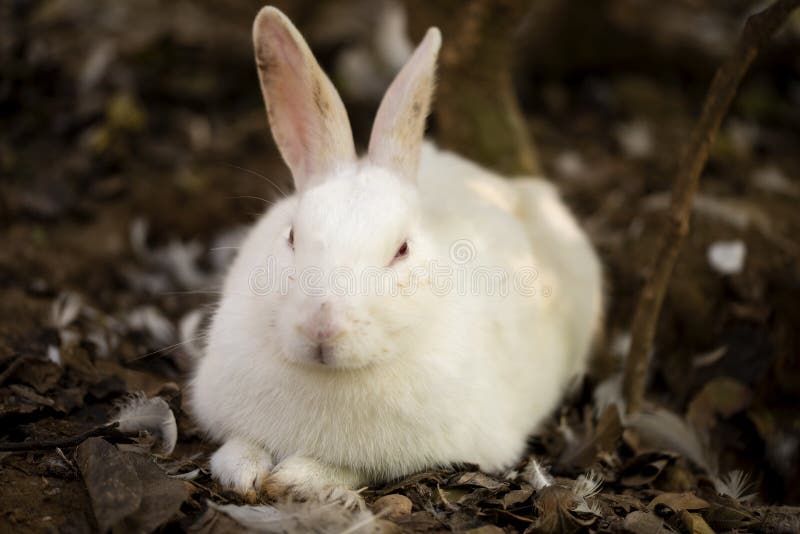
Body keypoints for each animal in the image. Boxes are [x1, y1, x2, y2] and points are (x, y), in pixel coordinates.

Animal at [191, 5, 603, 504]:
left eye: (401, 249)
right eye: (291, 235)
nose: (322, 329)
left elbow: (349, 468)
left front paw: (294, 478)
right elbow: (240, 442)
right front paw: (244, 474)